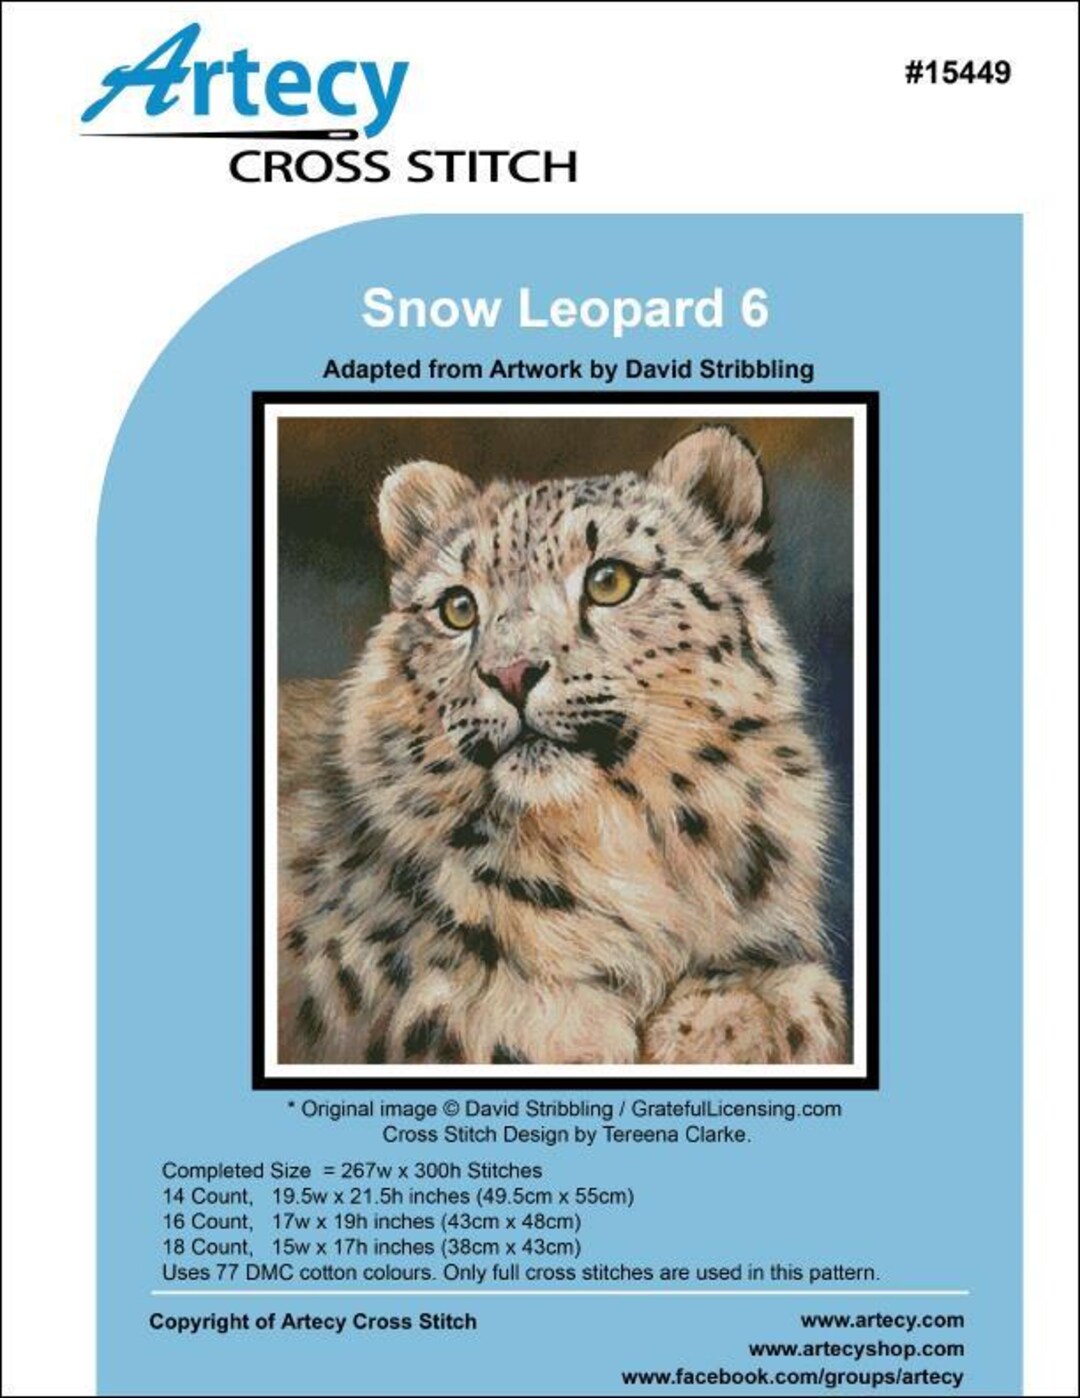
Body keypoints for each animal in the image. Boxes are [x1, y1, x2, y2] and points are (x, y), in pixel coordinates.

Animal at [276, 425, 849, 1066]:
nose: (510, 673)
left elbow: (798, 994)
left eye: (610, 580)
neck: (612, 837)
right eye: (458, 607)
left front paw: (717, 1025)